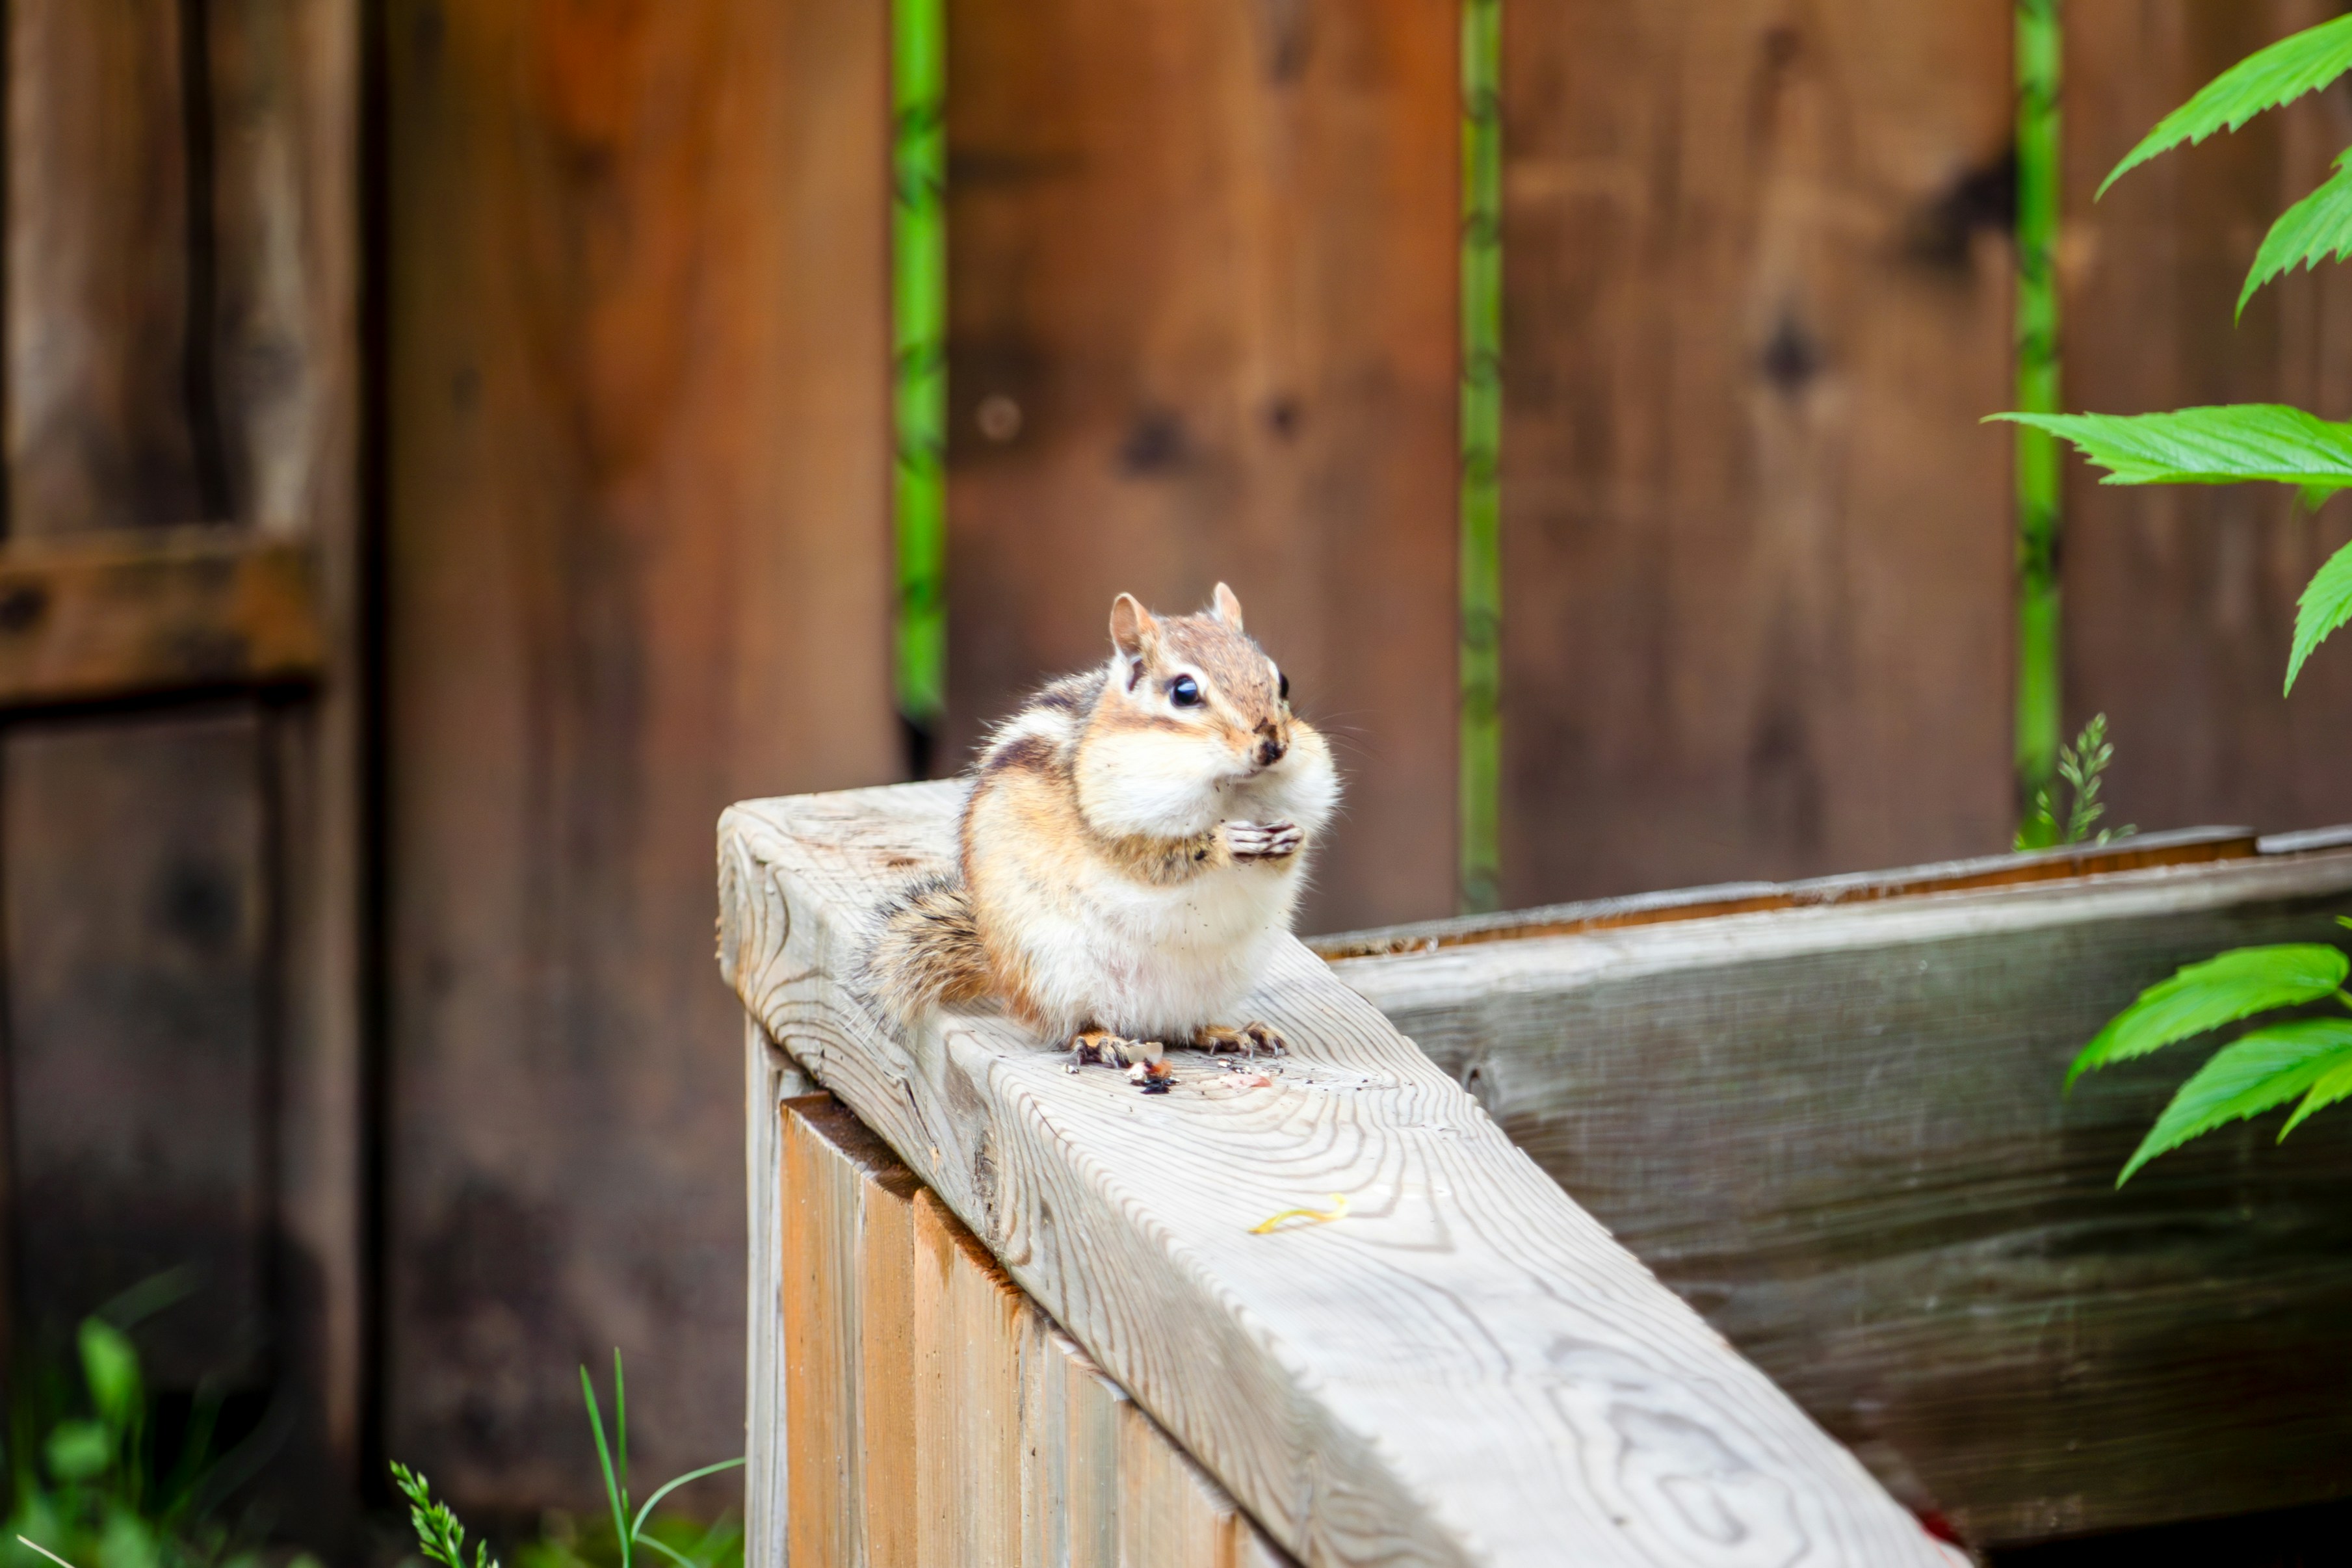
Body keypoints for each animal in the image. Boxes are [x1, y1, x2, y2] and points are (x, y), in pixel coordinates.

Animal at [864, 583, 1339, 1079]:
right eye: (1184, 691)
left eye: (1282, 681)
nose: (1273, 746)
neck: (1232, 788)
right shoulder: (1108, 824)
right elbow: (1154, 858)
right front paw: (1227, 841)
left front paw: (1293, 839)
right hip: (1054, 971)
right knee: (1076, 1022)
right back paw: (1099, 1039)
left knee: (1185, 1026)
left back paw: (1229, 1032)